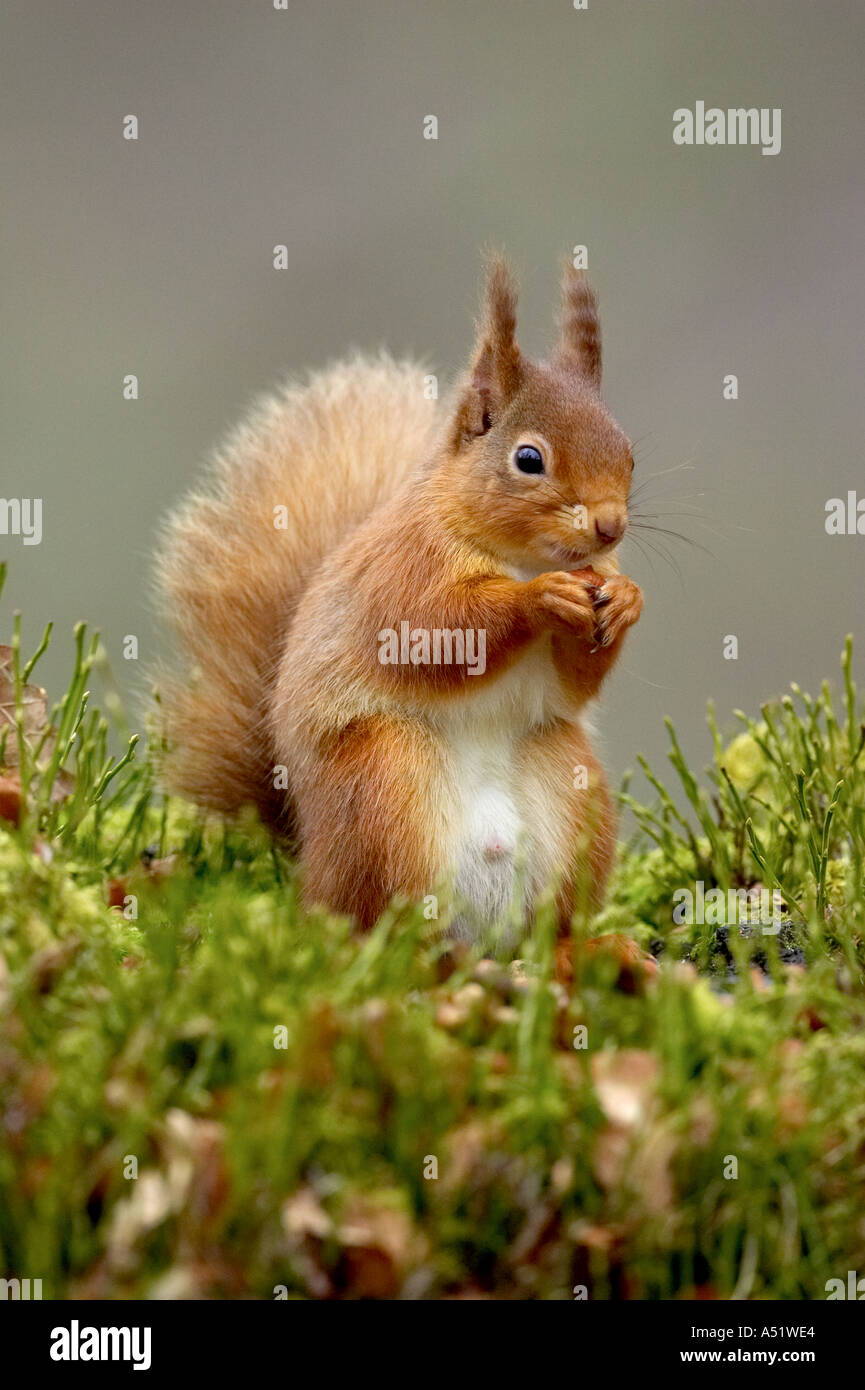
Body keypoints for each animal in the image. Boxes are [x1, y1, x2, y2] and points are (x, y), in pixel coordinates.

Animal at [155, 256, 643, 949]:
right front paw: (539, 600)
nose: (610, 527)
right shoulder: (401, 573)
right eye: (529, 458)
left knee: (546, 928)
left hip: (571, 791)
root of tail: (312, 862)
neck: (519, 555)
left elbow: (576, 679)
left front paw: (625, 600)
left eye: (630, 454)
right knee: (376, 921)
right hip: (385, 786)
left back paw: (592, 948)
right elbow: (437, 633)